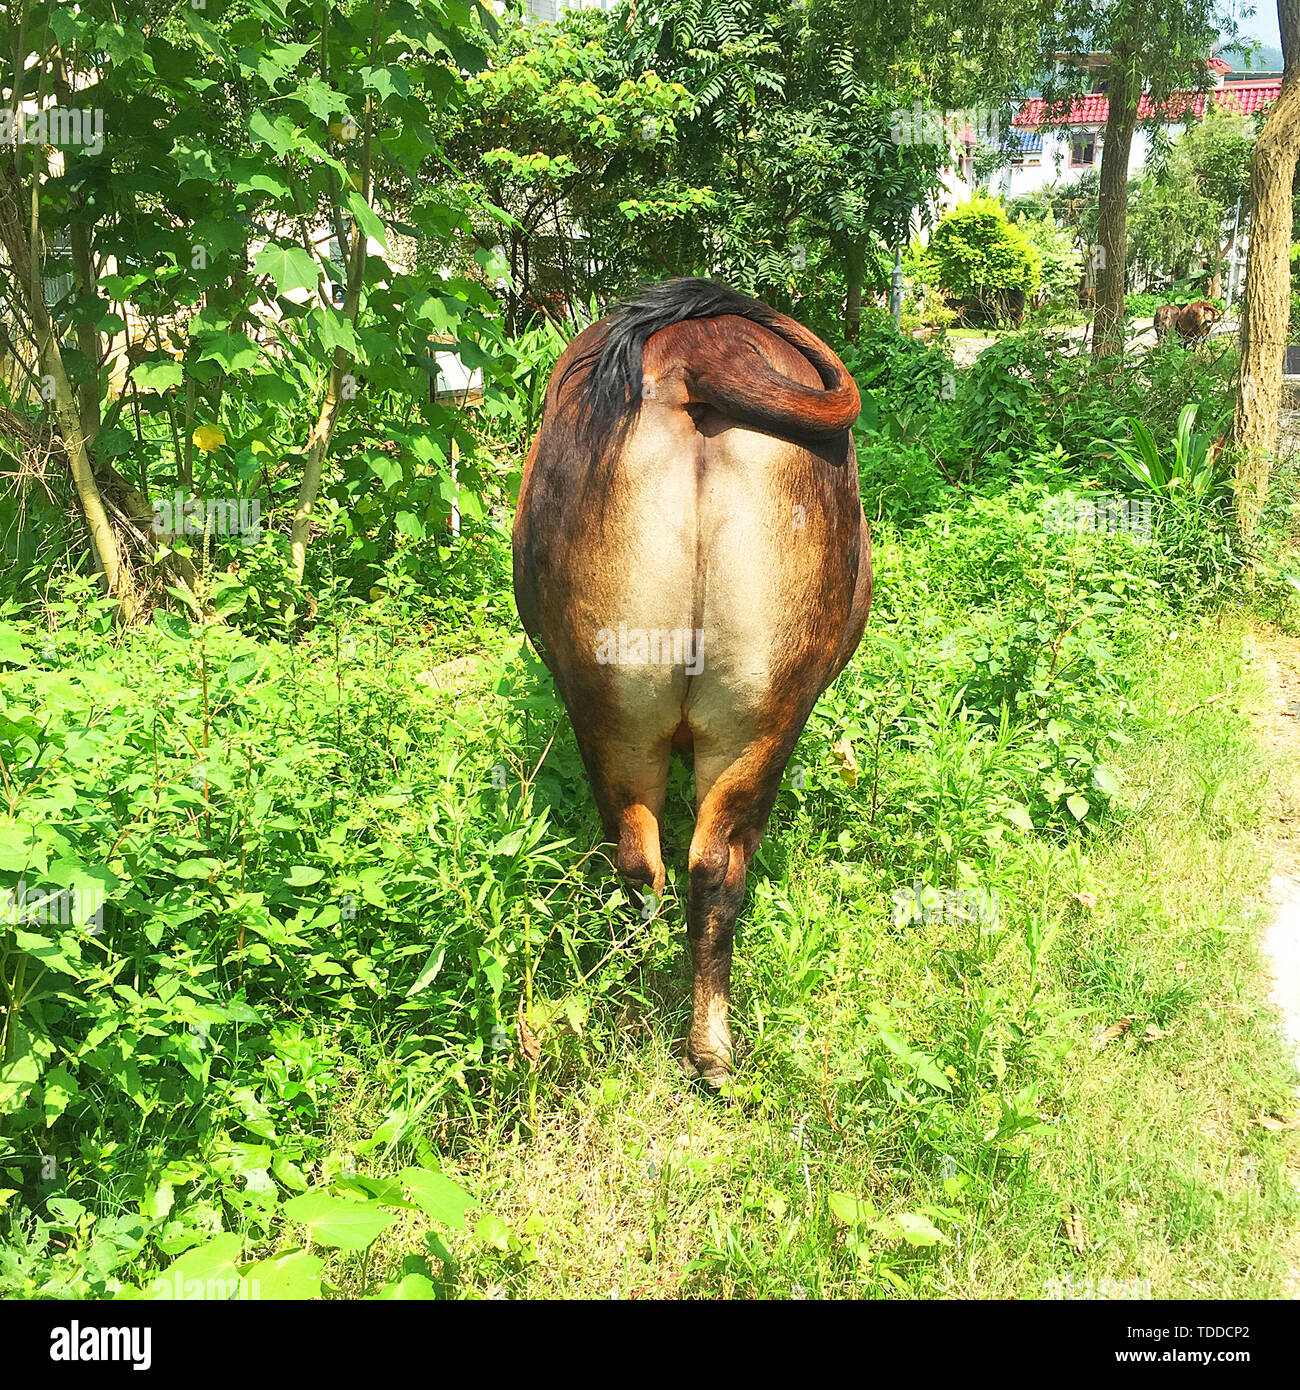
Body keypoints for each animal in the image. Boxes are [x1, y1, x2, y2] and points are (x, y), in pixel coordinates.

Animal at [513, 279, 871, 1085]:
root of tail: (700, 353)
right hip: (767, 717)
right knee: (718, 864)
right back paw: (712, 1047)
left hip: (610, 709)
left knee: (645, 860)